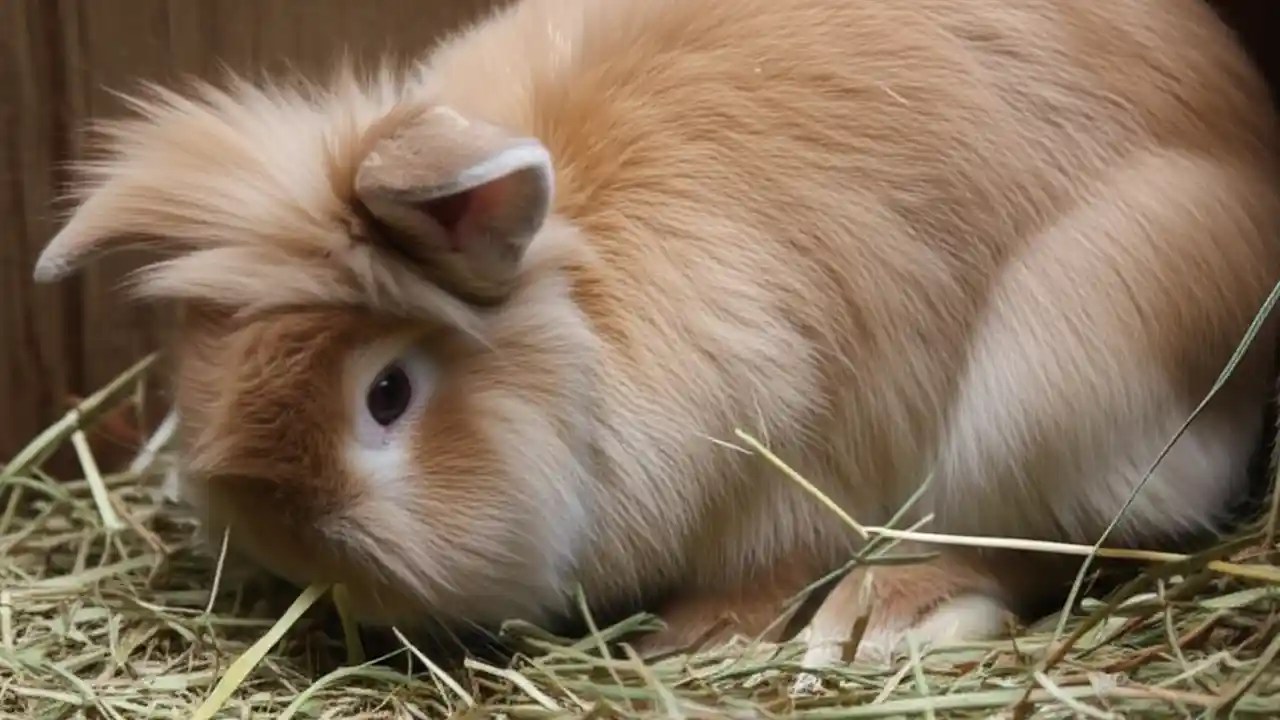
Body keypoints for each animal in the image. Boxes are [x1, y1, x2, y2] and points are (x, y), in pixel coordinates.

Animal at [32, 0, 1280, 671]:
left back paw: (877, 623)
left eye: (387, 395)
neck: (586, 309)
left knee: (1059, 540)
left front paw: (687, 642)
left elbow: (771, 565)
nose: (285, 543)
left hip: (1057, 390)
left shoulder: (790, 461)